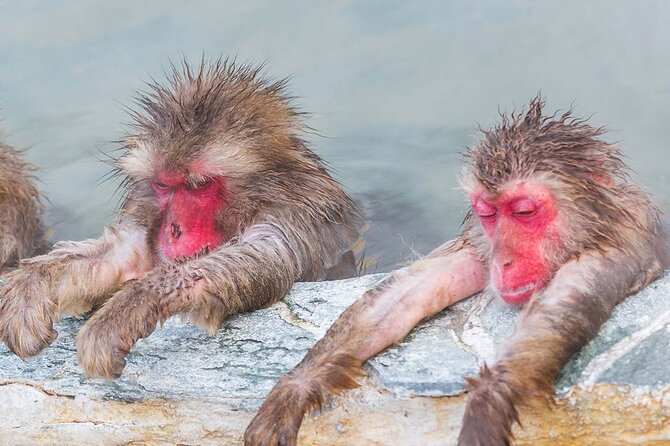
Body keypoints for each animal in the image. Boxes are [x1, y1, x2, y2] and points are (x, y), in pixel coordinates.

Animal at [244, 97, 670, 446]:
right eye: (488, 214)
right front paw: (292, 391)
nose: (503, 261)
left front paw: (486, 406)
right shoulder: (478, 244)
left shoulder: (620, 245)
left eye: (524, 211)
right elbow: (401, 298)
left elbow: (559, 312)